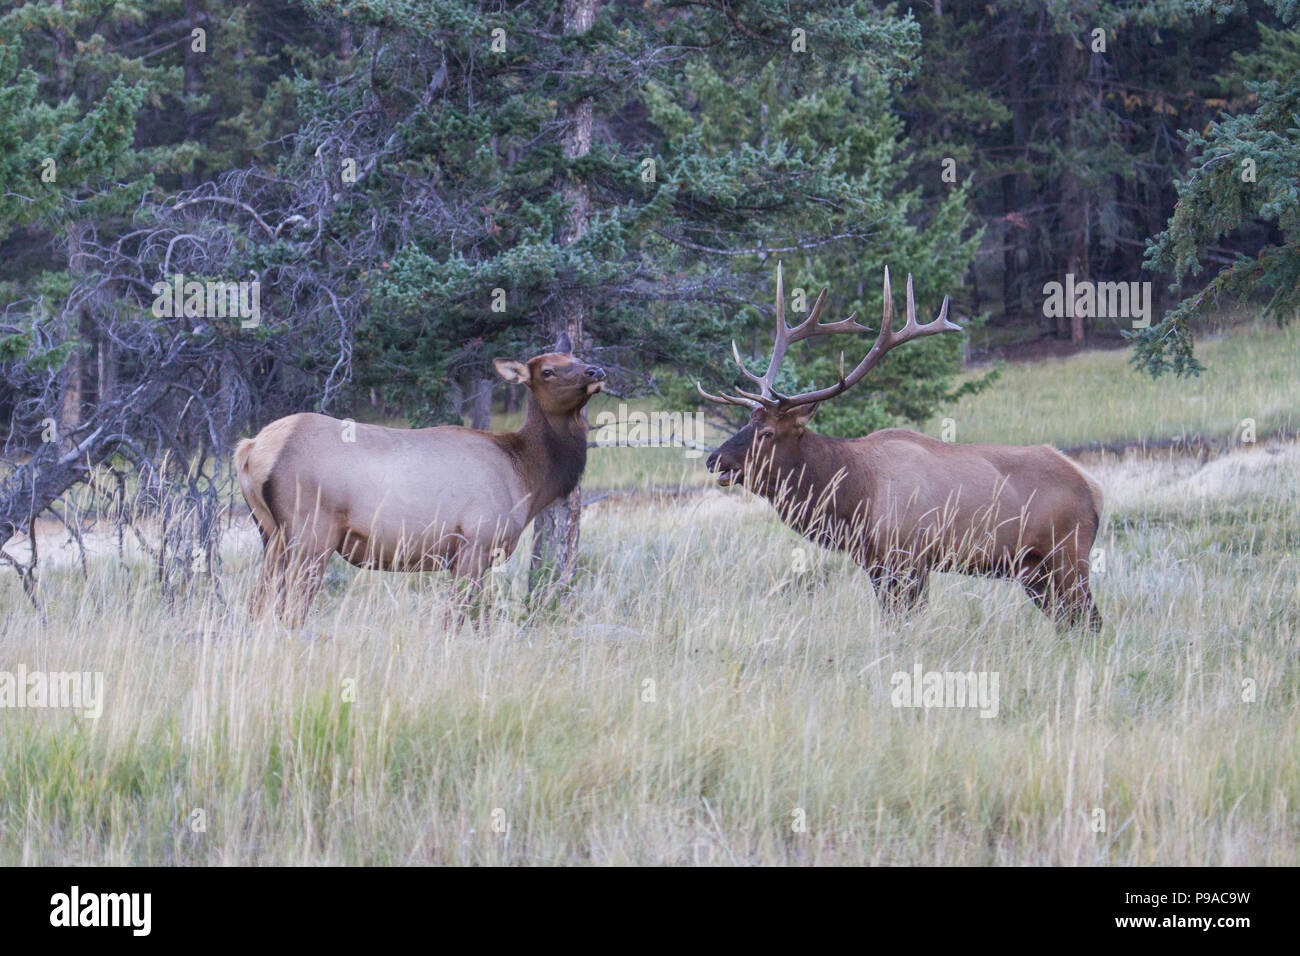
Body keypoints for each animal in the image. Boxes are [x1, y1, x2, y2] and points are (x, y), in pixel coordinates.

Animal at [234, 332, 605, 628]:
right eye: (548, 371)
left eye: (577, 357)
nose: (596, 370)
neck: (525, 478)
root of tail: (250, 449)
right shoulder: (476, 542)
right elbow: (457, 619)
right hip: (310, 532)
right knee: (291, 608)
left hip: (271, 532)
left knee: (257, 602)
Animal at [700, 264, 1104, 632]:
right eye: (745, 423)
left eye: (766, 432)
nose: (714, 459)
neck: (854, 498)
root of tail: (1094, 489)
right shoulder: (876, 563)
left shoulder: (910, 555)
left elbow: (904, 620)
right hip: (1034, 570)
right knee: (1071, 621)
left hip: (1069, 555)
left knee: (1091, 620)